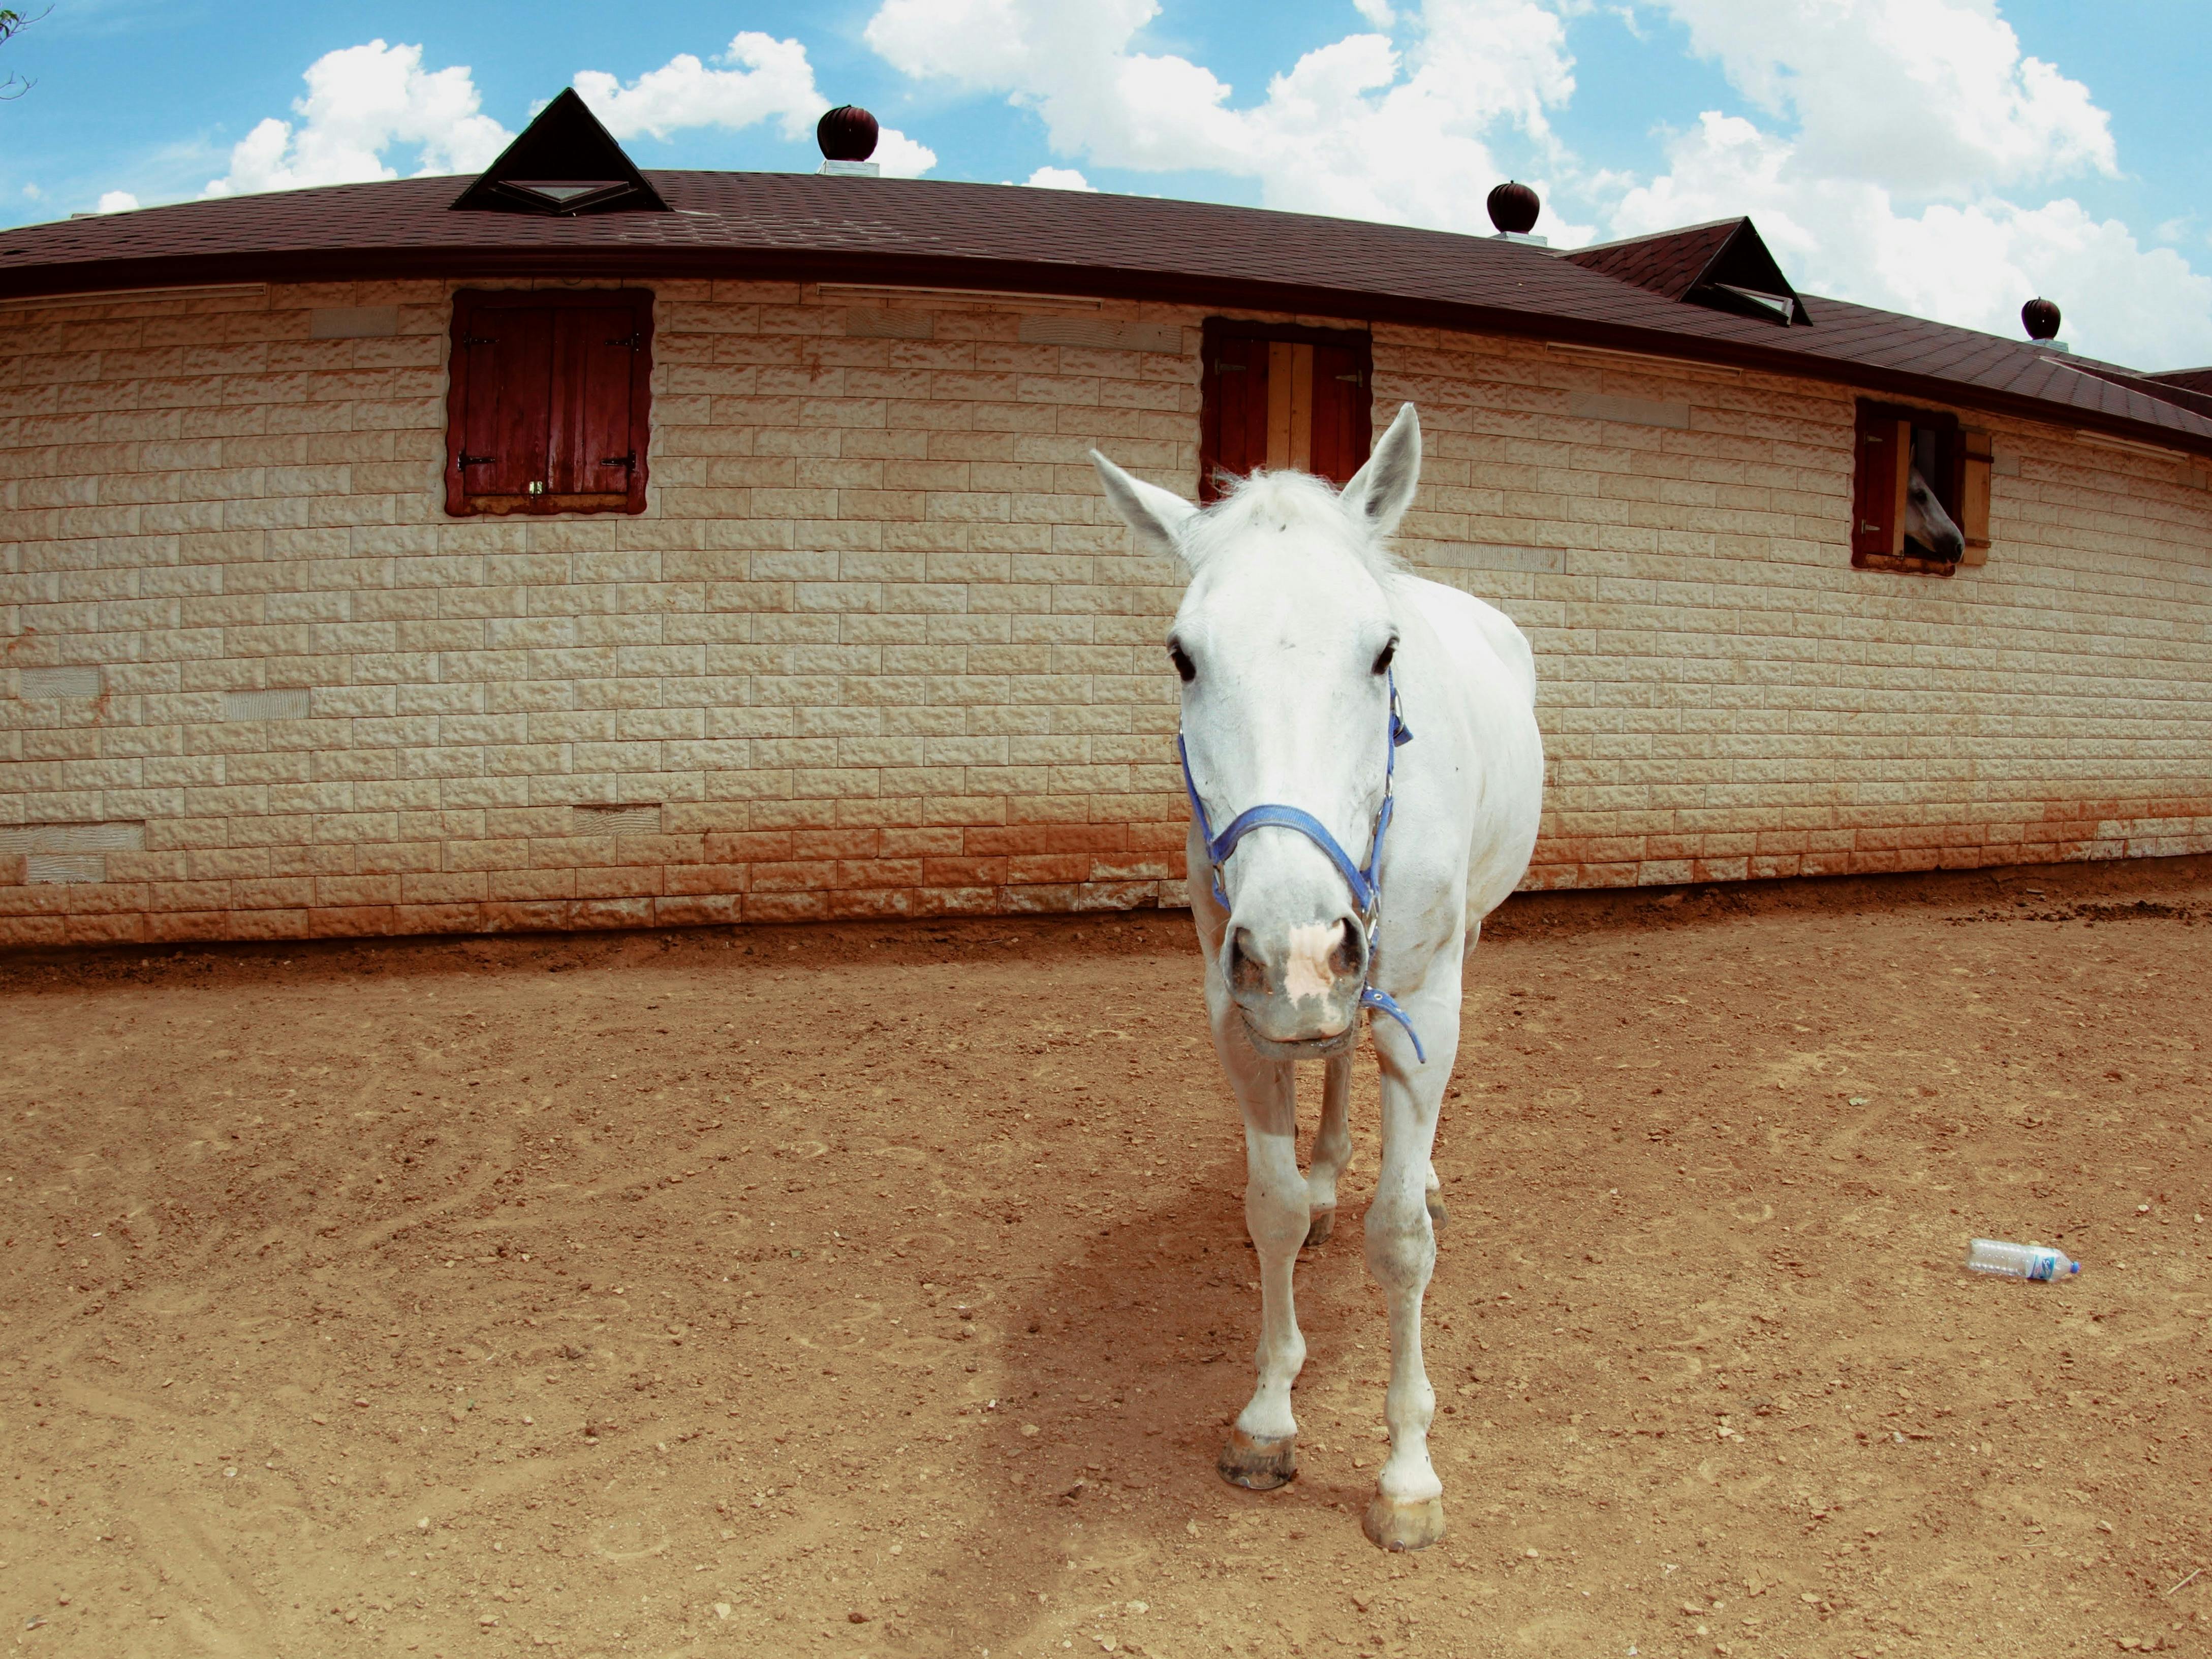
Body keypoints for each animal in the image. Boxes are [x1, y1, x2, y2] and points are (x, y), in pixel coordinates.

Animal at [1092, 404, 1545, 1551]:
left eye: (1381, 652)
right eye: (1182, 657)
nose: (1297, 944)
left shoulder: (1418, 1004)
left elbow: (1401, 1244)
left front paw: (1406, 1474)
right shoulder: (1239, 1012)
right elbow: (1274, 1209)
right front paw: (1265, 1419)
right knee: (1334, 1066)